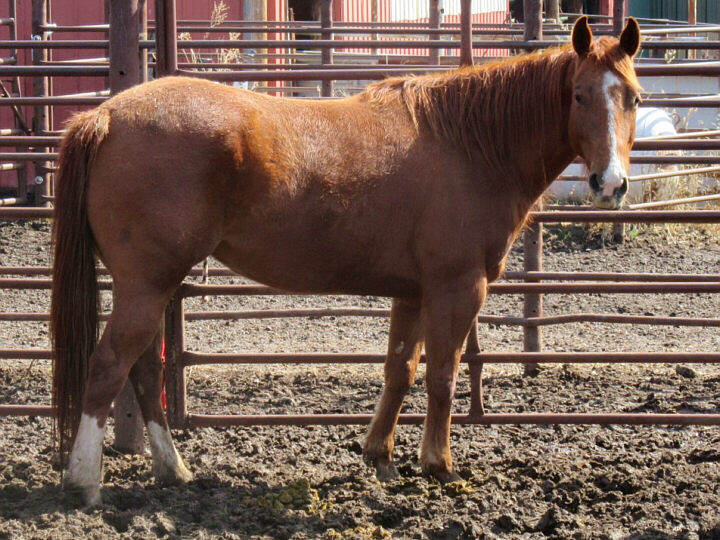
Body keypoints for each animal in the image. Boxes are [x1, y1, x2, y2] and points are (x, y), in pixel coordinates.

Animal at [51, 16, 641, 507]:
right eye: (580, 95)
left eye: (632, 97)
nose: (610, 182)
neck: (470, 146)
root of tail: (105, 115)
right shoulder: (457, 287)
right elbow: (442, 375)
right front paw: (438, 465)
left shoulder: (413, 292)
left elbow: (400, 369)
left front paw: (380, 457)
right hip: (146, 285)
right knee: (108, 367)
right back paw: (85, 483)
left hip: (153, 286)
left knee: (145, 370)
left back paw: (173, 470)